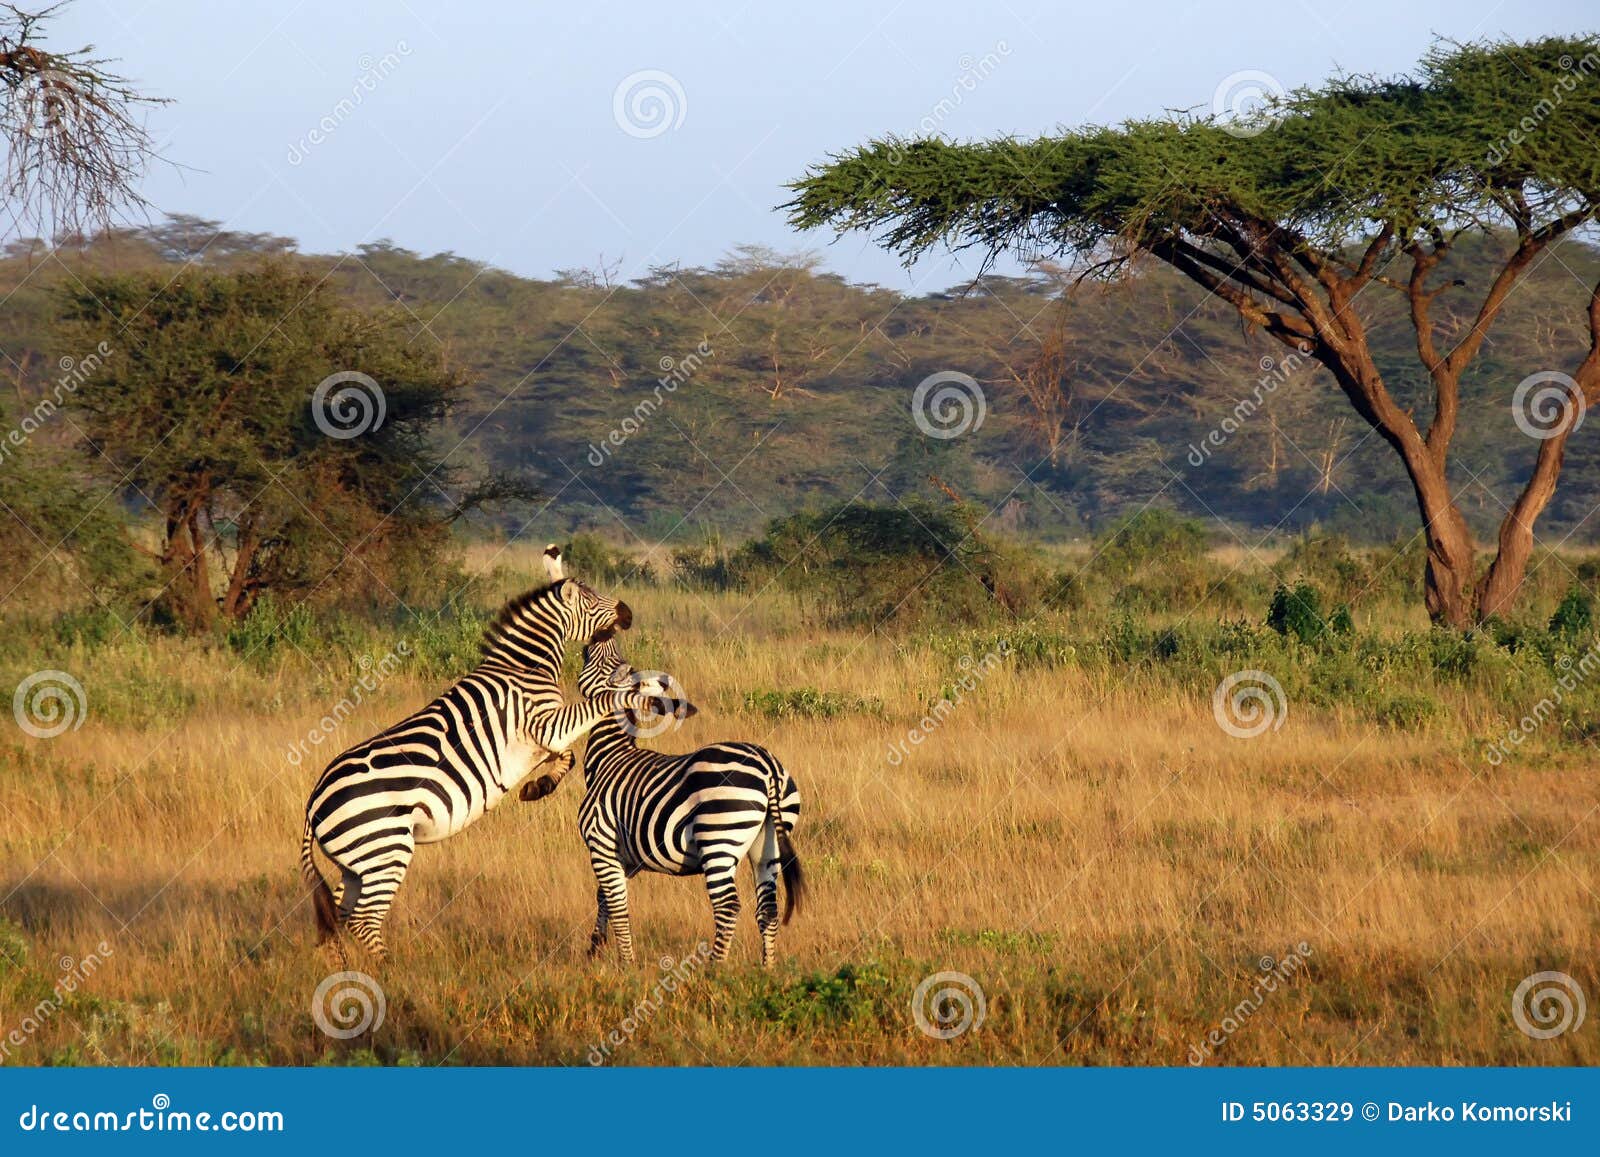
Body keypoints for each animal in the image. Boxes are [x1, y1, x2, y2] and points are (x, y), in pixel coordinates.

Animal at [298, 546, 680, 961]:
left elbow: (566, 757)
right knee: (363, 920)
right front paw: (641, 697)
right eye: (592, 599)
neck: (524, 667)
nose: (628, 612)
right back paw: (389, 970)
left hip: (357, 863)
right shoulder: (545, 724)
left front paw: (537, 788)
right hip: (385, 849)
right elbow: (595, 709)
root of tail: (313, 803)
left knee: (340, 914)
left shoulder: (542, 739)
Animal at [565, 626, 804, 968]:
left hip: (719, 837)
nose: (602, 634)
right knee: (768, 908)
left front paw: (626, 963)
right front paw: (596, 947)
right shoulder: (625, 858)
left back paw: (715, 968)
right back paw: (767, 968)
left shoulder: (601, 843)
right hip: (767, 842)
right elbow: (605, 898)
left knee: (728, 906)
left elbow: (618, 905)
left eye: (610, 661)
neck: (610, 756)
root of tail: (769, 765)